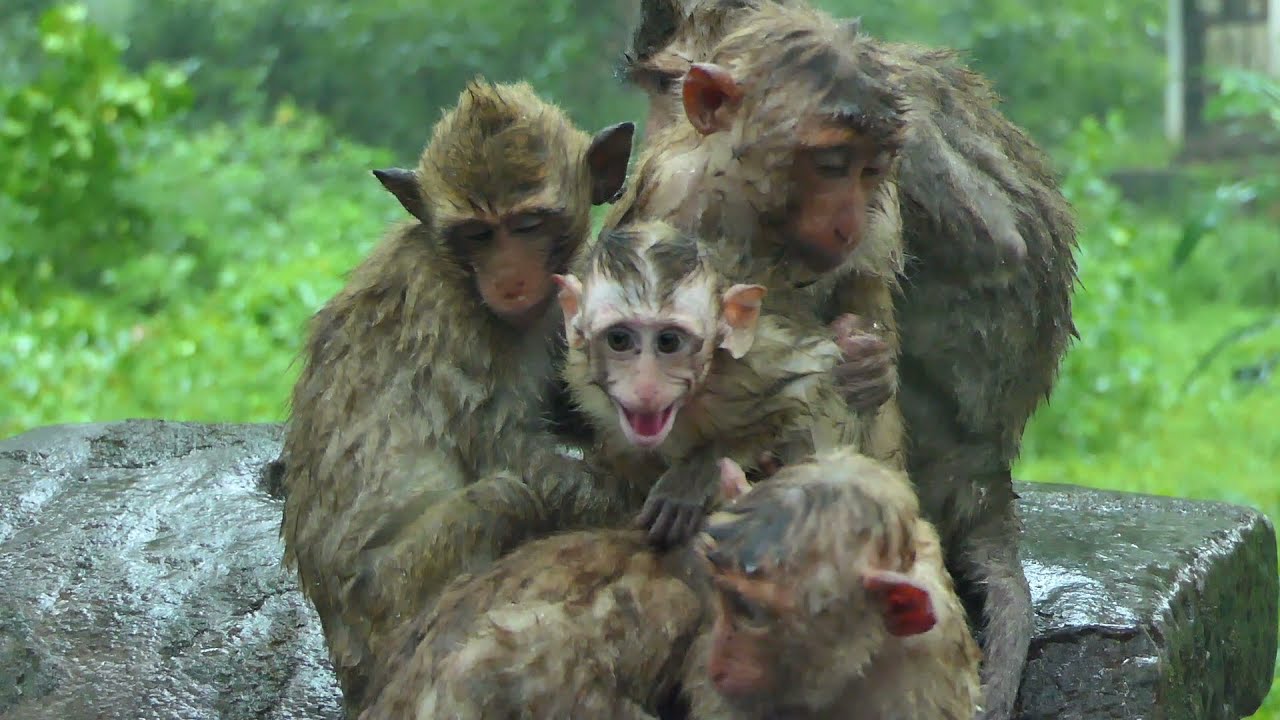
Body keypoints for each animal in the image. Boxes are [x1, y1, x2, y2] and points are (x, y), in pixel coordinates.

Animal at [276, 78, 635, 713]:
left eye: (527, 225)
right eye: (476, 234)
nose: (510, 281)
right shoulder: (451, 317)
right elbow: (507, 450)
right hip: (390, 595)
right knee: (501, 500)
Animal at [554, 220, 880, 546]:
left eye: (669, 341)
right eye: (619, 339)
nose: (645, 387)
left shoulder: (757, 359)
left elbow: (808, 387)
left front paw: (696, 475)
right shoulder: (580, 376)